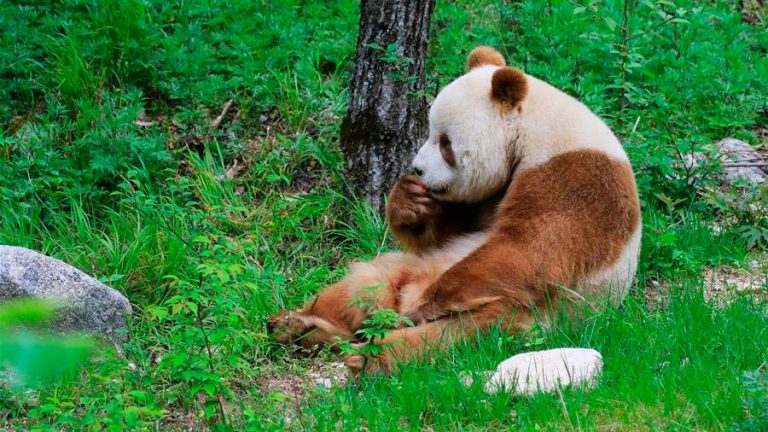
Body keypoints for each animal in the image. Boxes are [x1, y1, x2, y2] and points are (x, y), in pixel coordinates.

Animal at [269, 46, 641, 374]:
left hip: (528, 315)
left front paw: (426, 302)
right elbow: (457, 228)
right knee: (366, 282)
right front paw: (409, 201)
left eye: (446, 143)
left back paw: (372, 354)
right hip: (416, 267)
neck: (532, 128)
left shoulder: (572, 177)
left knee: (457, 334)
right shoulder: (489, 195)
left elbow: (530, 251)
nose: (418, 169)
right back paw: (301, 325)